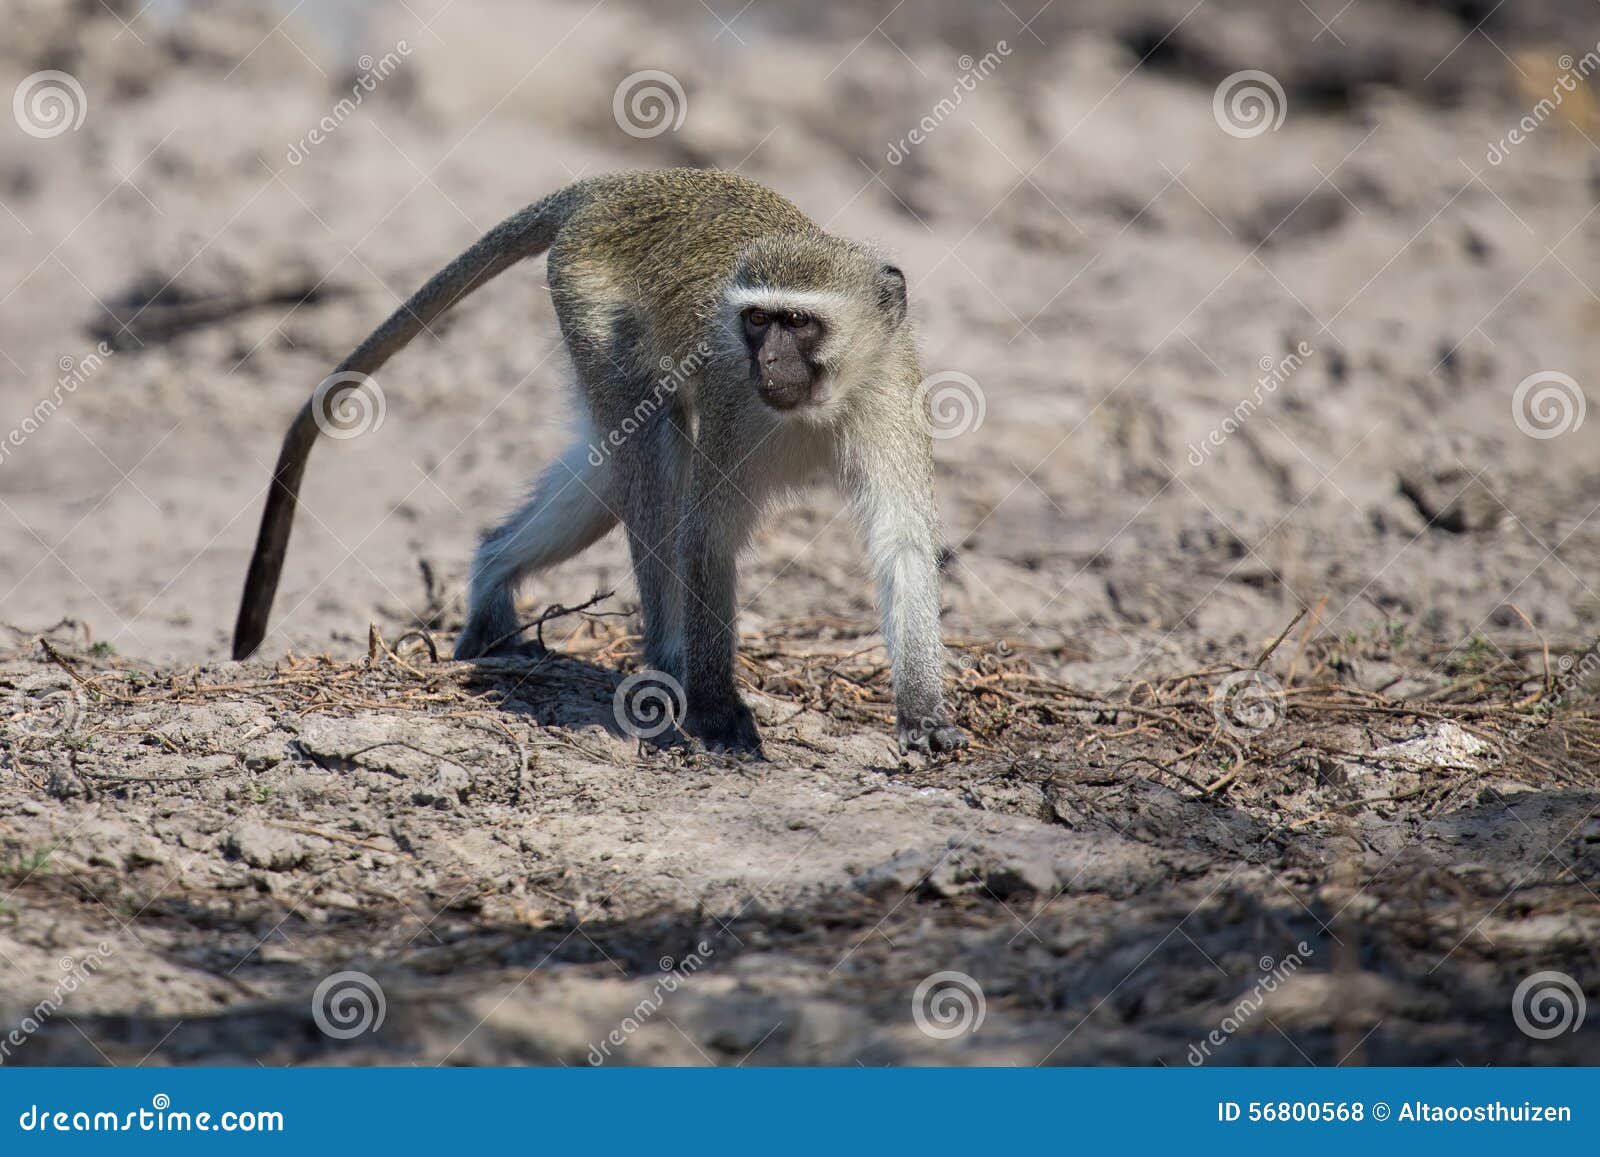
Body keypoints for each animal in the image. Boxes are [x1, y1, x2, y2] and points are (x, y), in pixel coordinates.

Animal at [234, 168, 967, 755]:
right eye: (758, 322)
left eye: (800, 323)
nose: (769, 362)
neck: (819, 399)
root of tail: (617, 185)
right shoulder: (733, 399)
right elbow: (705, 537)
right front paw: (715, 708)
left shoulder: (892, 390)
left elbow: (902, 542)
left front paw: (923, 712)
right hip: (588, 305)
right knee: (648, 452)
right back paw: (666, 666)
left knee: (608, 472)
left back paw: (493, 582)